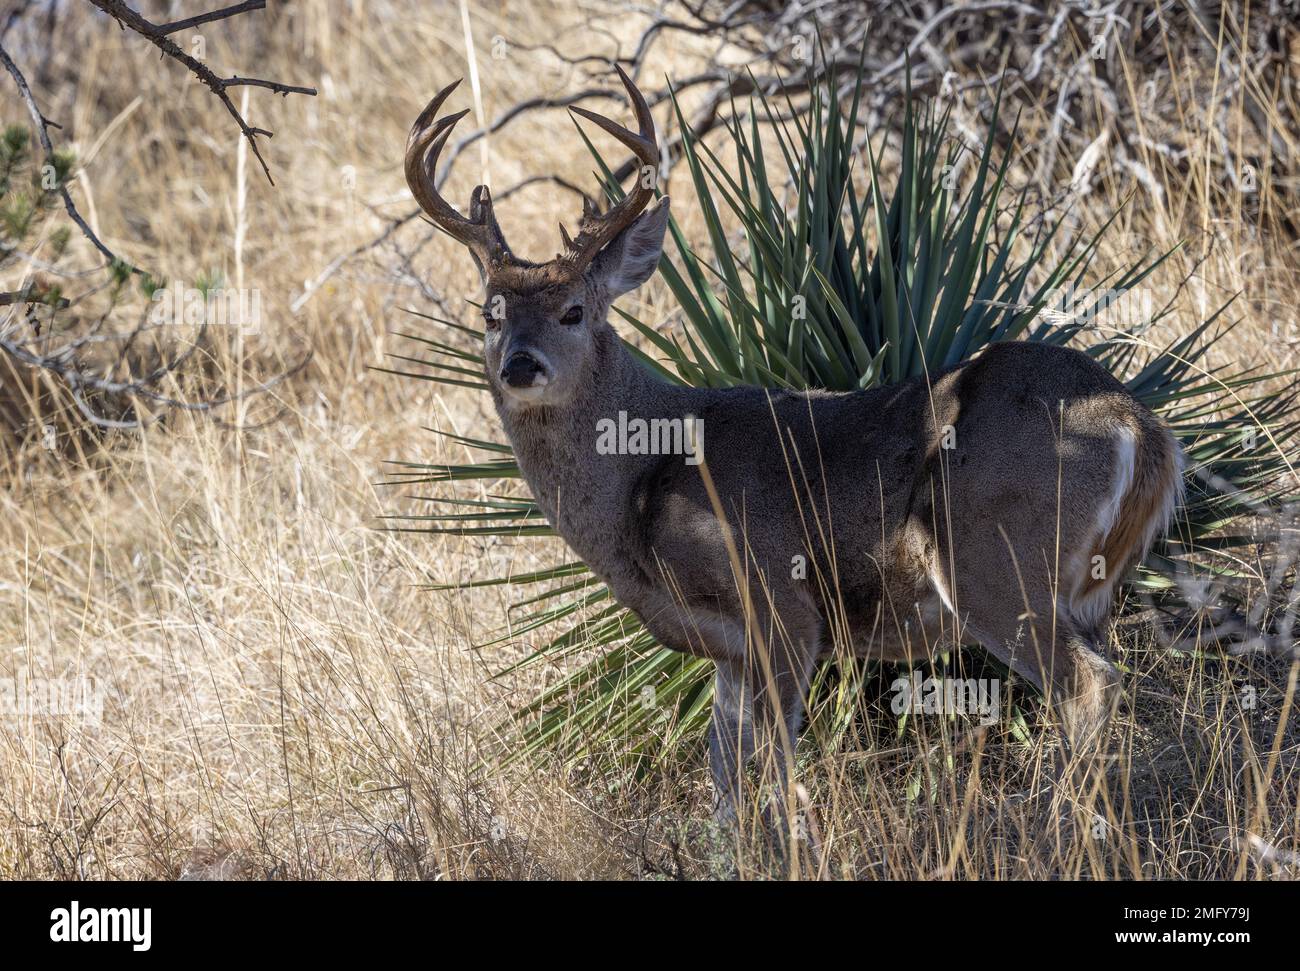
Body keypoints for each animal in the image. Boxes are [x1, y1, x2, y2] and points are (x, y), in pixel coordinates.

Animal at [405, 68, 1185, 826]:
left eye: (573, 310)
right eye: (490, 314)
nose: (520, 364)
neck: (644, 471)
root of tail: (1137, 425)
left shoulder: (781, 603)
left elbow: (775, 759)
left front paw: (796, 840)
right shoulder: (726, 646)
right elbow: (722, 767)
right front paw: (729, 846)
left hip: (994, 558)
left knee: (1087, 683)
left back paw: (1063, 823)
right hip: (1089, 588)